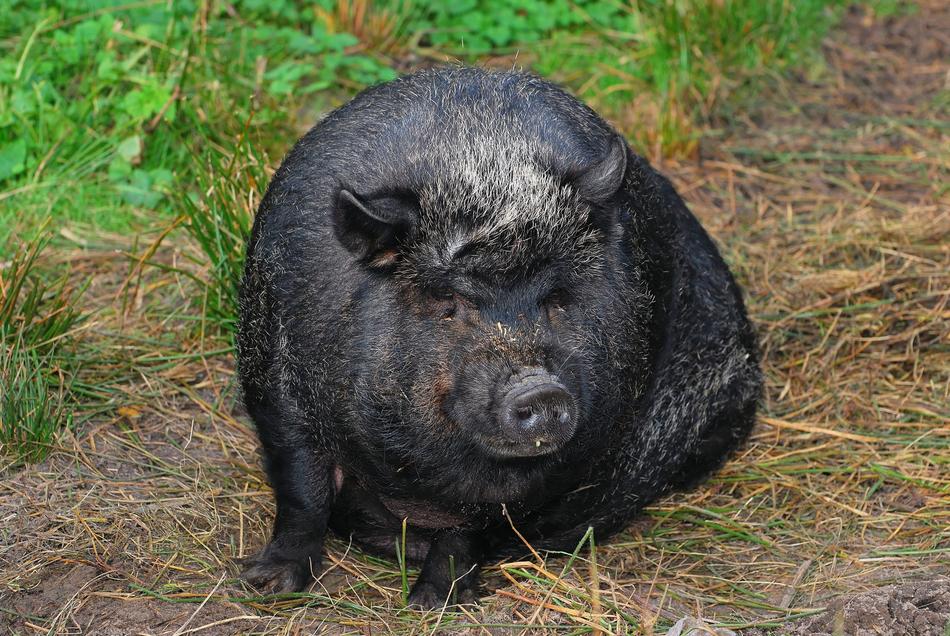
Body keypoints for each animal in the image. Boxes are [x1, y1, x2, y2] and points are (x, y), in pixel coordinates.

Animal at [236, 66, 761, 608]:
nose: (540, 388)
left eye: (557, 297)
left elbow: (477, 524)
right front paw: (267, 585)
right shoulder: (278, 382)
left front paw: (432, 602)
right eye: (449, 301)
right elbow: (303, 486)